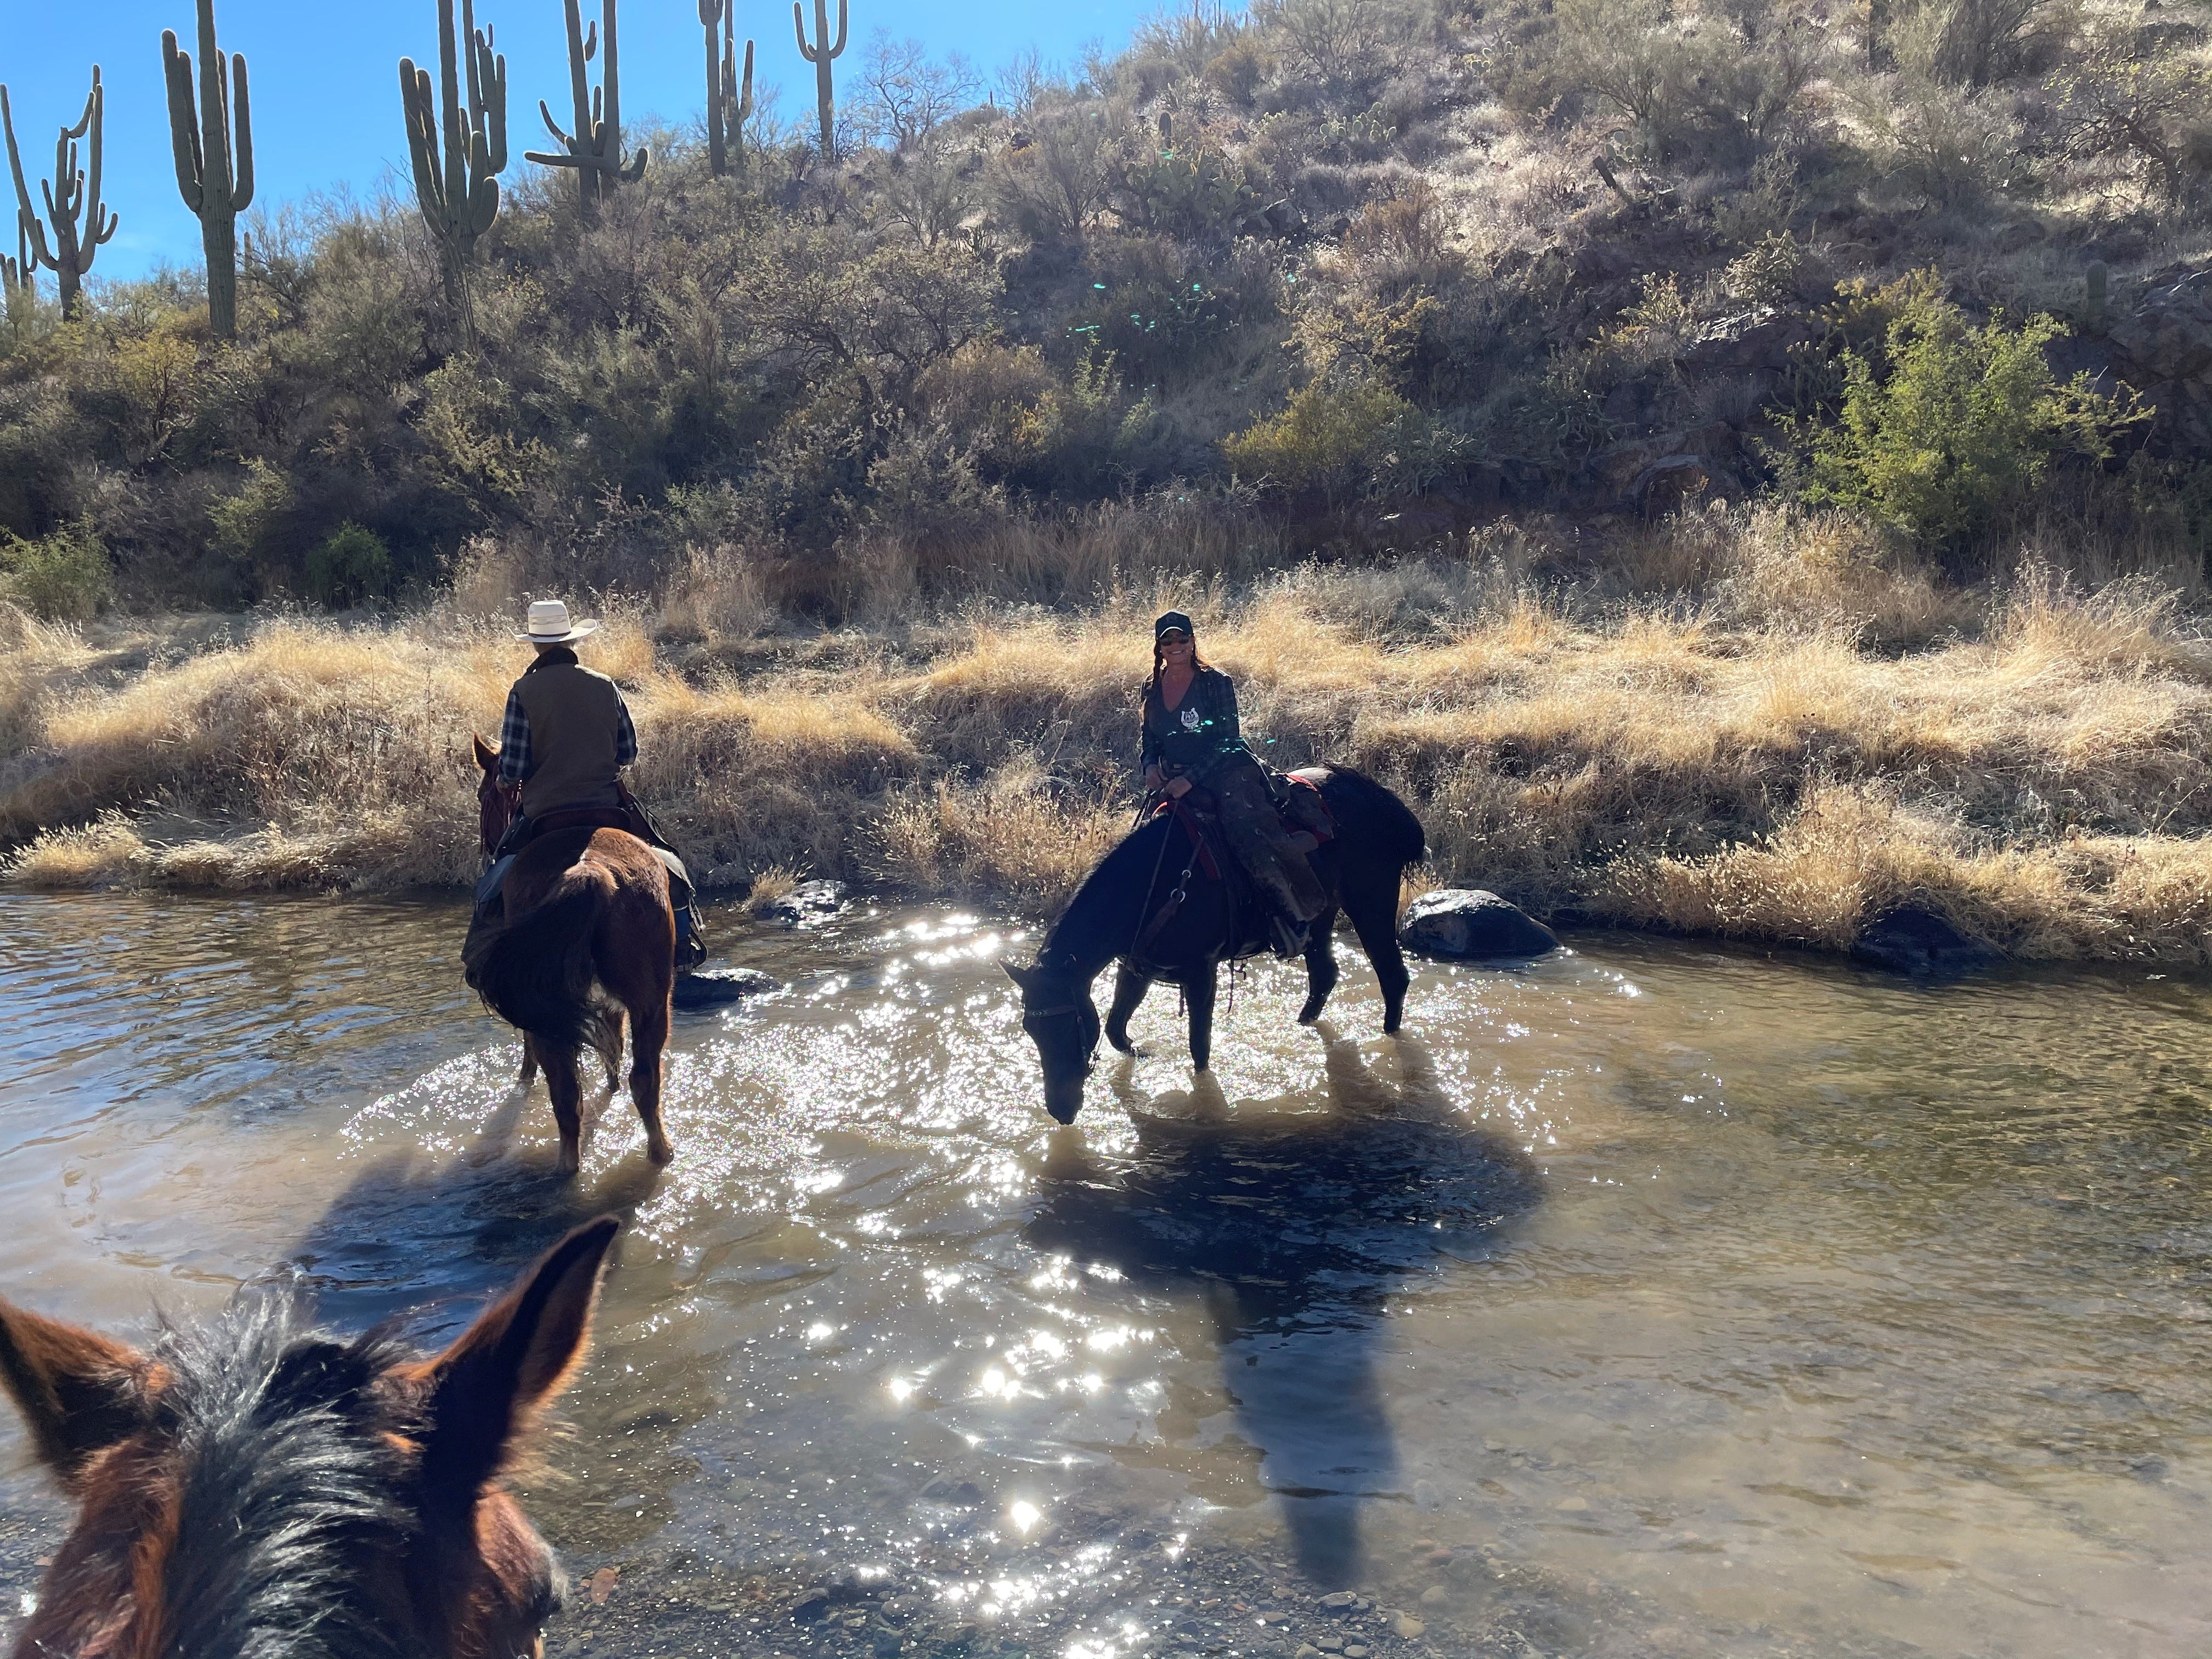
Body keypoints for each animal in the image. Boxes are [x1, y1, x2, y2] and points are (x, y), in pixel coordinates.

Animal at [471, 736, 677, 1172]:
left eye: (484, 795)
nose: (485, 848)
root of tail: (590, 868)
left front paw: (524, 1078)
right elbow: (613, 1047)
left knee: (569, 1090)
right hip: (651, 1002)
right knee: (637, 1080)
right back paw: (653, 1153)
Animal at [1003, 764, 1427, 1123]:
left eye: (1071, 1023)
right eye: (1031, 1028)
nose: (1060, 1110)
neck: (1152, 886)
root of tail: (1388, 807)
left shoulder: (1201, 972)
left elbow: (1199, 1048)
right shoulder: (1136, 967)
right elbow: (1115, 1030)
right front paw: (1144, 1054)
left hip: (1371, 905)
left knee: (1393, 977)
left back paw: (1393, 1043)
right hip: (1321, 917)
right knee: (1325, 975)